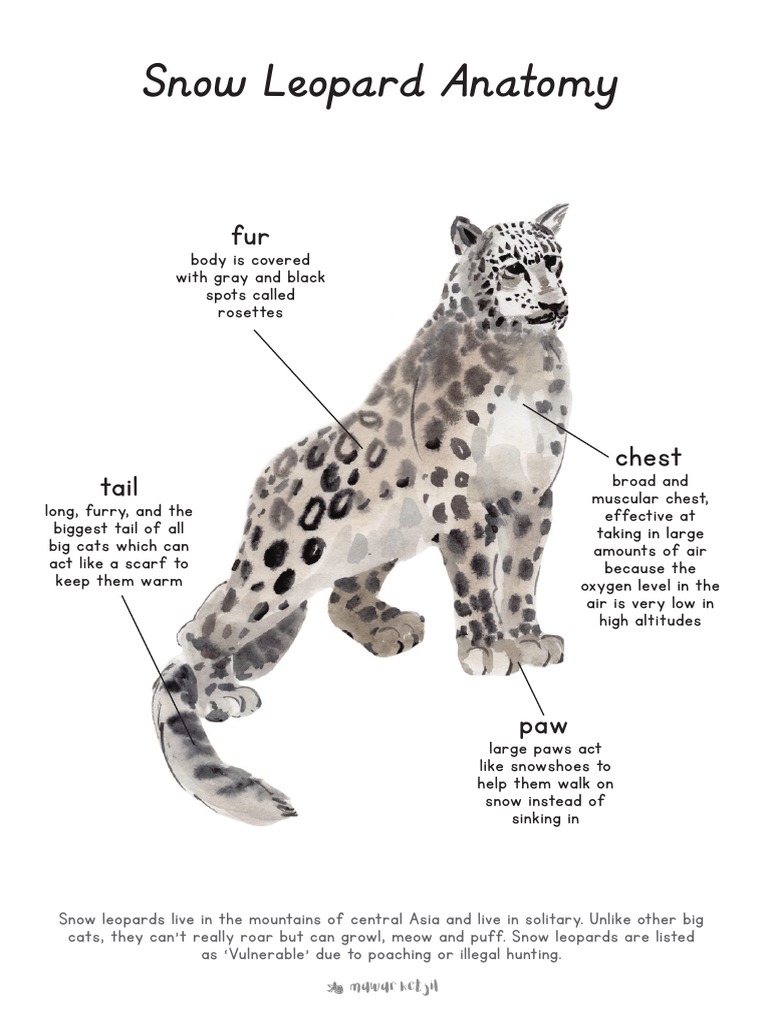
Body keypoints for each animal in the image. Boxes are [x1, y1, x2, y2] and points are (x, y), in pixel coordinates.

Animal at [153, 204, 571, 826]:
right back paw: (220, 694)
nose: (553, 300)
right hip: (280, 567)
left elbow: (520, 575)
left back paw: (387, 627)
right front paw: (490, 649)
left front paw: (529, 638)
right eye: (515, 267)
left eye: (553, 260)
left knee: (339, 598)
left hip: (389, 535)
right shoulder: (458, 496)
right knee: (203, 627)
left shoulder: (532, 492)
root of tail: (261, 490)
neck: (524, 361)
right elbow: (477, 583)